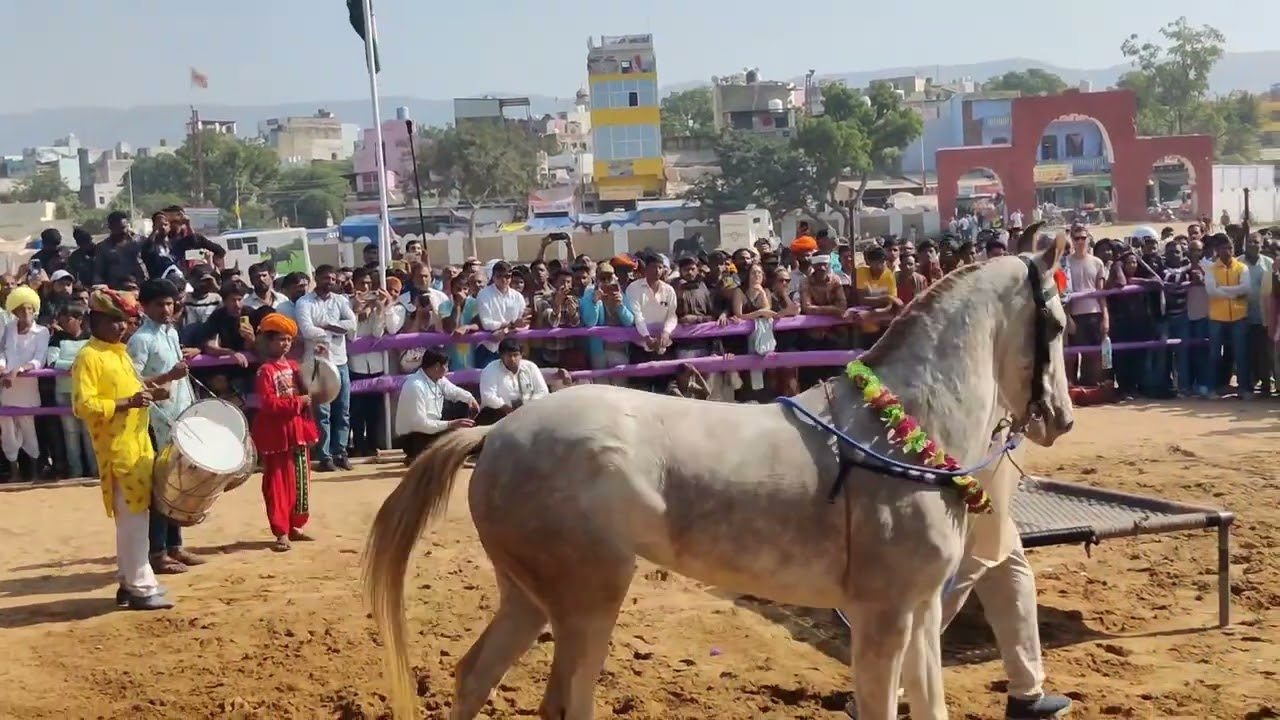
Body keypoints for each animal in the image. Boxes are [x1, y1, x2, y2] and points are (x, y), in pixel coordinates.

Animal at [363, 236, 1075, 720]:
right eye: (1061, 323)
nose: (1061, 419)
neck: (899, 435)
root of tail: (498, 433)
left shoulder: (922, 609)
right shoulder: (884, 615)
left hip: (529, 598)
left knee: (474, 676)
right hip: (587, 599)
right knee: (562, 701)